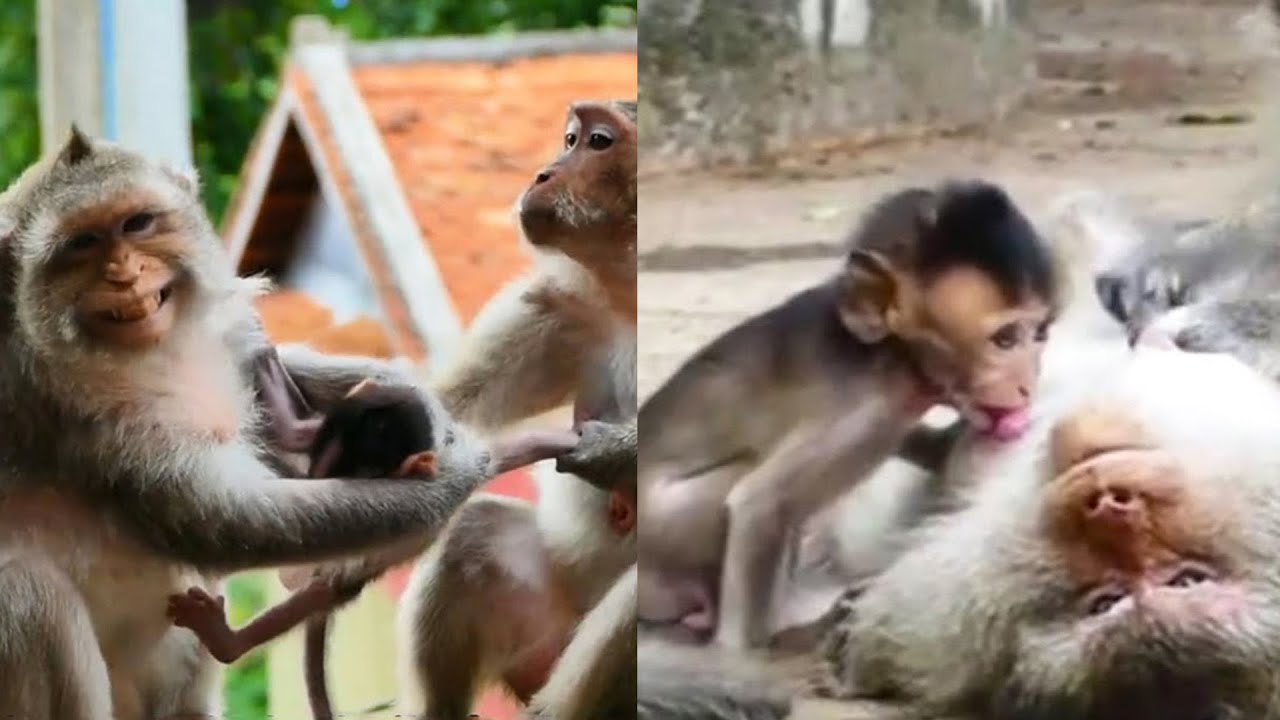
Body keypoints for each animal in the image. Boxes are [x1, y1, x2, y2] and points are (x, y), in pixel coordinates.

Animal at [0, 127, 569, 720]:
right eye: (82, 244)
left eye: (137, 223)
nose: (124, 273)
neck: (147, 351)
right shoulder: (78, 418)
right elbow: (223, 518)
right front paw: (467, 468)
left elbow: (274, 404)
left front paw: (410, 398)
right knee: (29, 593)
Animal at [390, 99, 639, 720]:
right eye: (570, 138)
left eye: (598, 142)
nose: (543, 173)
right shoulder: (556, 307)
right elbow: (454, 410)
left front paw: (611, 452)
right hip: (543, 627)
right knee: (474, 534)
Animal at [637, 180, 1060, 650]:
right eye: (1005, 340)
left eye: (1039, 334)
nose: (1027, 384)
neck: (891, 357)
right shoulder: (859, 409)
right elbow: (759, 503)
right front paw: (742, 654)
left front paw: (945, 444)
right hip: (662, 529)